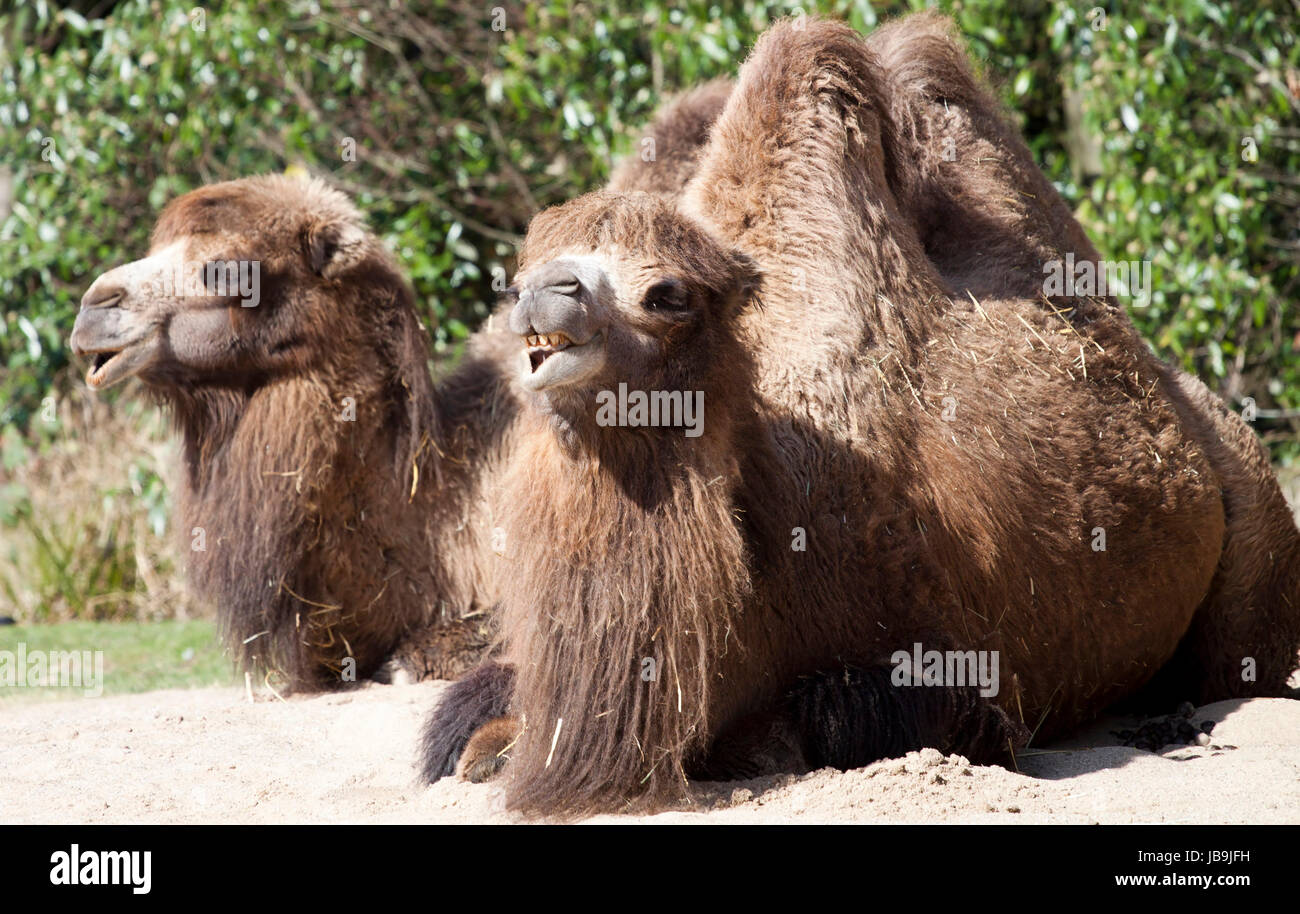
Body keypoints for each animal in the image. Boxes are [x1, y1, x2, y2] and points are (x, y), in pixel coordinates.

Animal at [422, 17, 1300, 814]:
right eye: (522, 272)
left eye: (667, 294)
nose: (548, 294)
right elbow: (468, 714)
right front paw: (485, 747)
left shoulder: (954, 664)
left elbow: (842, 717)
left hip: (1254, 528)